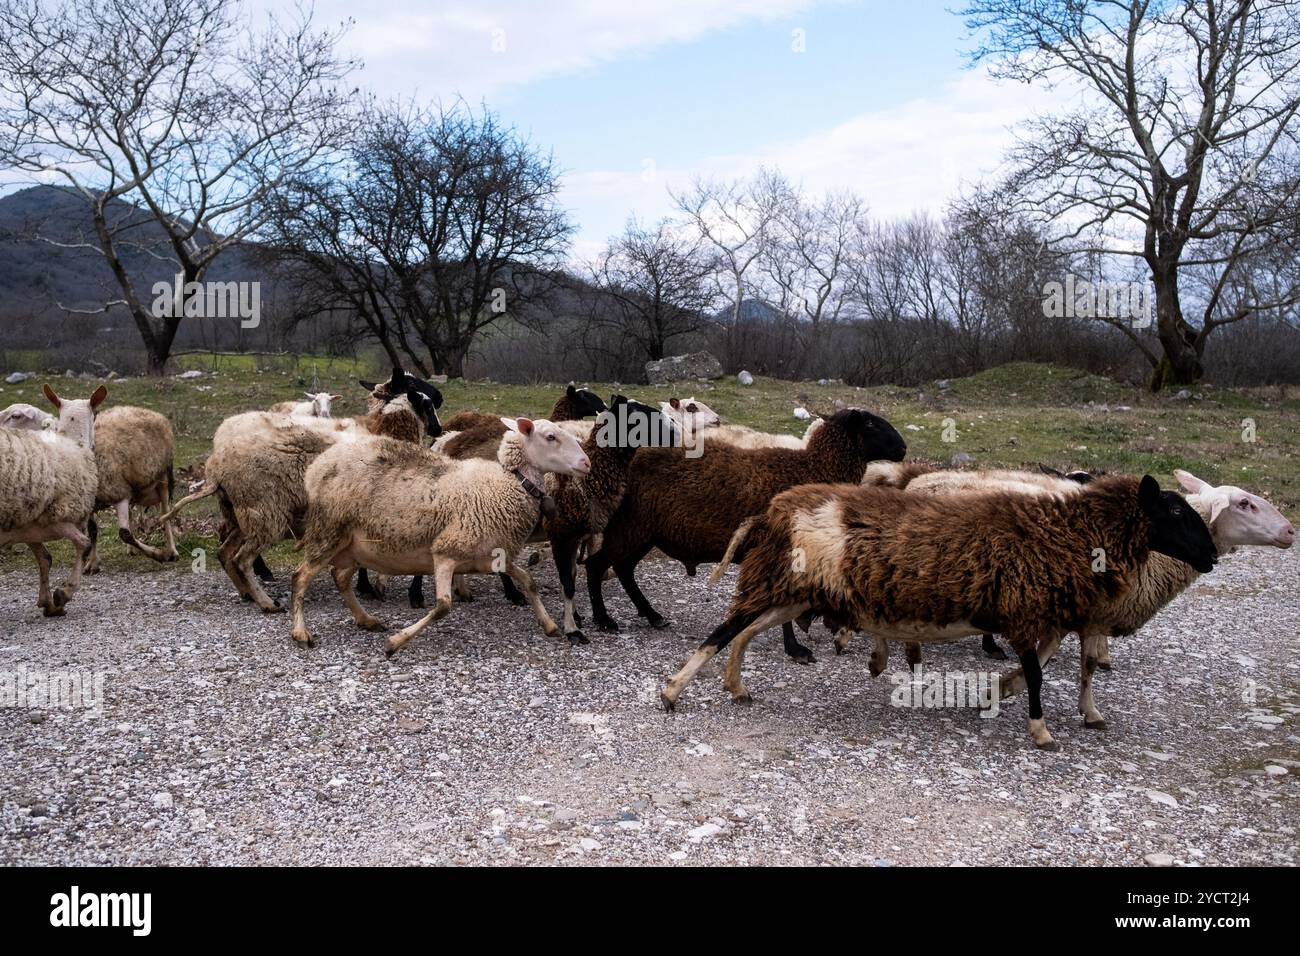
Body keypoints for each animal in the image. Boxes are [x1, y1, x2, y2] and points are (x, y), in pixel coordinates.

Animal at [0, 384, 106, 617]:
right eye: (95, 415)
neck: (73, 443)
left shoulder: (25, 523)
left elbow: (45, 558)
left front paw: (47, 602)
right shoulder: (55, 518)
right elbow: (83, 544)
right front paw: (63, 594)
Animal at [83, 406, 179, 571]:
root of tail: (153, 413)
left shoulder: (119, 493)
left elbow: (125, 534)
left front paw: (159, 554)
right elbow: (92, 530)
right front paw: (93, 563)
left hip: (162, 479)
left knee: (165, 514)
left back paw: (172, 551)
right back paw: (132, 550)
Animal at [289, 417, 591, 655]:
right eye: (551, 437)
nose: (586, 463)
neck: (508, 484)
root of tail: (318, 465)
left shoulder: (492, 557)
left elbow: (529, 582)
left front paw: (549, 625)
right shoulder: (446, 551)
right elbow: (443, 606)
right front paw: (395, 643)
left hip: (355, 546)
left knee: (340, 578)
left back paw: (366, 620)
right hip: (329, 531)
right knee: (301, 576)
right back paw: (301, 633)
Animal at [583, 408, 907, 664]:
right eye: (871, 424)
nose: (903, 449)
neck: (812, 467)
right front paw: (796, 649)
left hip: (644, 532)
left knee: (623, 568)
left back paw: (652, 615)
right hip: (631, 526)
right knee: (596, 565)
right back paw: (604, 620)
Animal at [661, 474, 1218, 750]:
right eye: (1173, 511)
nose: (1211, 556)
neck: (1067, 535)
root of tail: (773, 510)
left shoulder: (1042, 615)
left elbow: (1050, 665)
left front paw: (1007, 693)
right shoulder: (1023, 611)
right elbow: (1040, 674)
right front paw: (1040, 731)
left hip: (796, 592)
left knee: (745, 630)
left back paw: (735, 685)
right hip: (783, 583)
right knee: (724, 628)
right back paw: (672, 691)